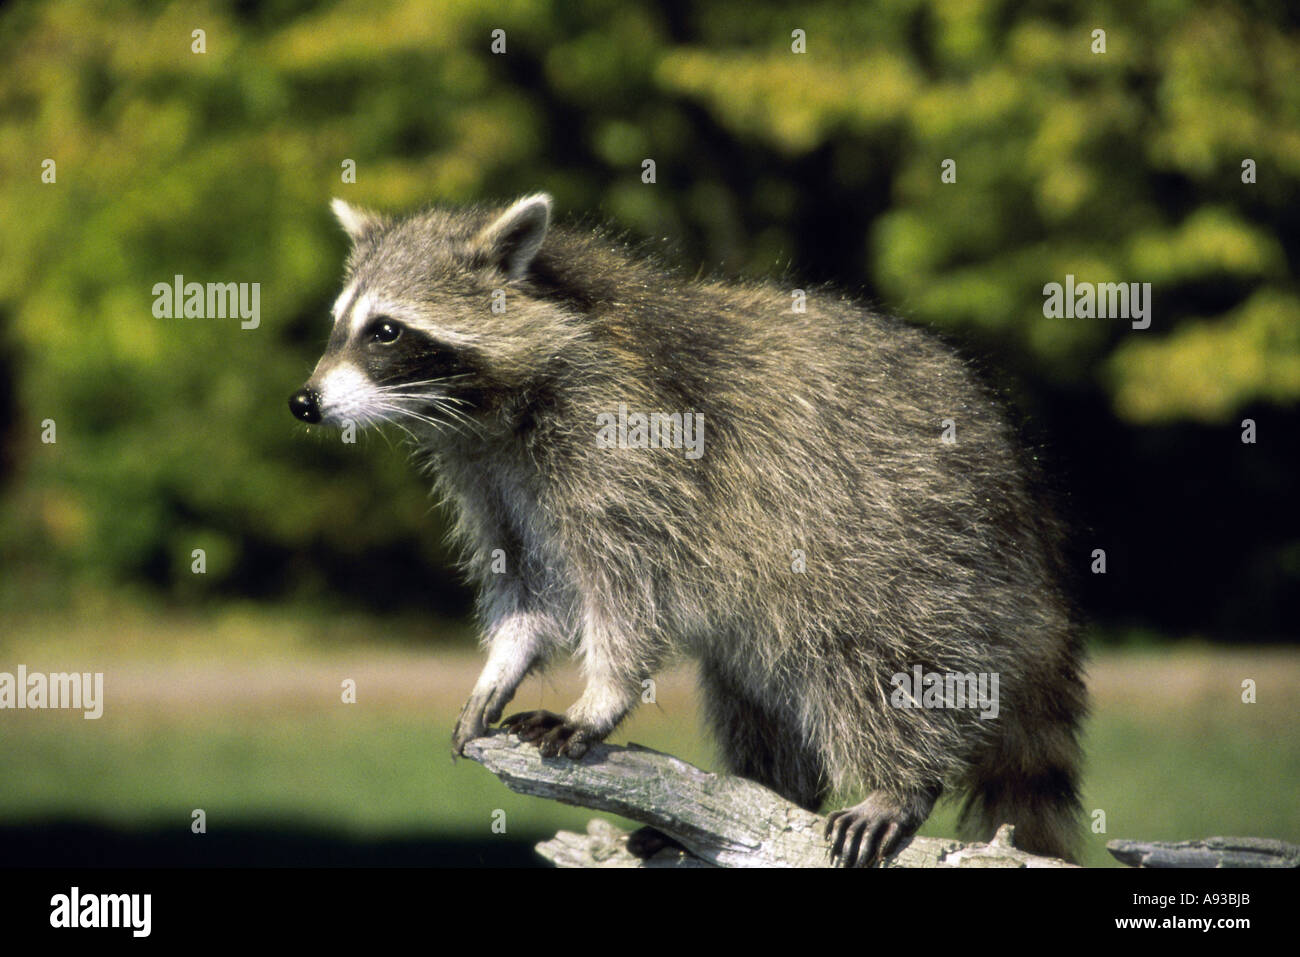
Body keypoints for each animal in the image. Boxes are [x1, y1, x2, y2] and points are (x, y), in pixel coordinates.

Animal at [290, 192, 1088, 866]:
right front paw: (501, 664)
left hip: (905, 533)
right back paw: (774, 790)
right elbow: (527, 583)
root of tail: (1028, 511)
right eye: (338, 325)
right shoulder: (491, 481)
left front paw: (602, 695)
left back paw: (898, 781)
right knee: (756, 687)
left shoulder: (633, 444)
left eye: (385, 331)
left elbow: (630, 589)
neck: (489, 414)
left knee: (874, 655)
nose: (304, 402)